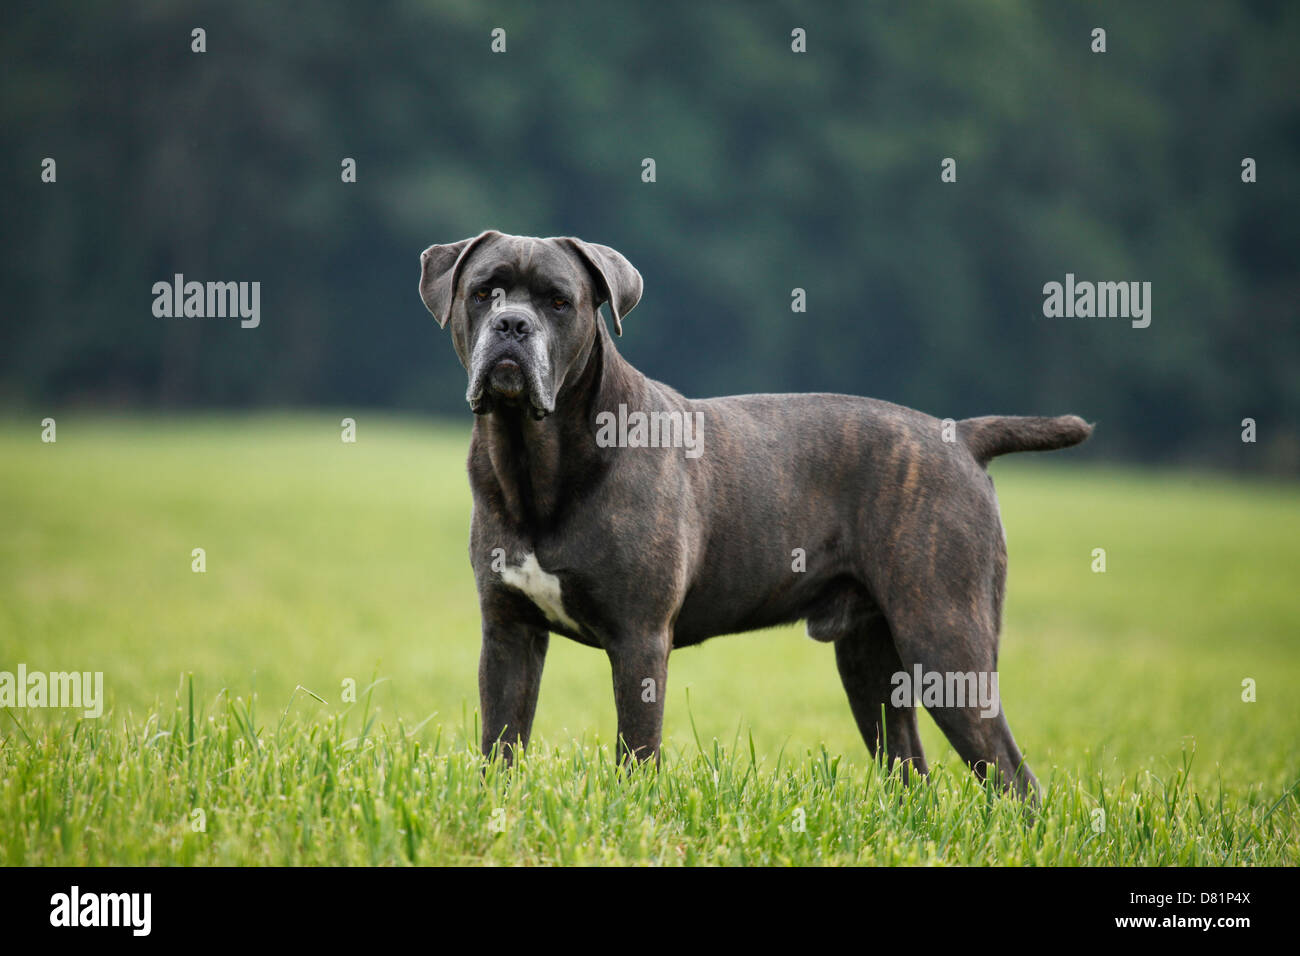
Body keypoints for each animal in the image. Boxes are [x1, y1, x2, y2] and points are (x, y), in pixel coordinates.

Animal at [421, 231, 1092, 801]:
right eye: (483, 292)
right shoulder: (509, 634)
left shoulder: (639, 639)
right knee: (910, 767)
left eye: (559, 302)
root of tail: (963, 437)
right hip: (871, 658)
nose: (512, 323)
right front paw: (497, 806)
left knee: (1013, 777)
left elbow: (636, 750)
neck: (535, 458)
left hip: (946, 640)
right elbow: (501, 741)